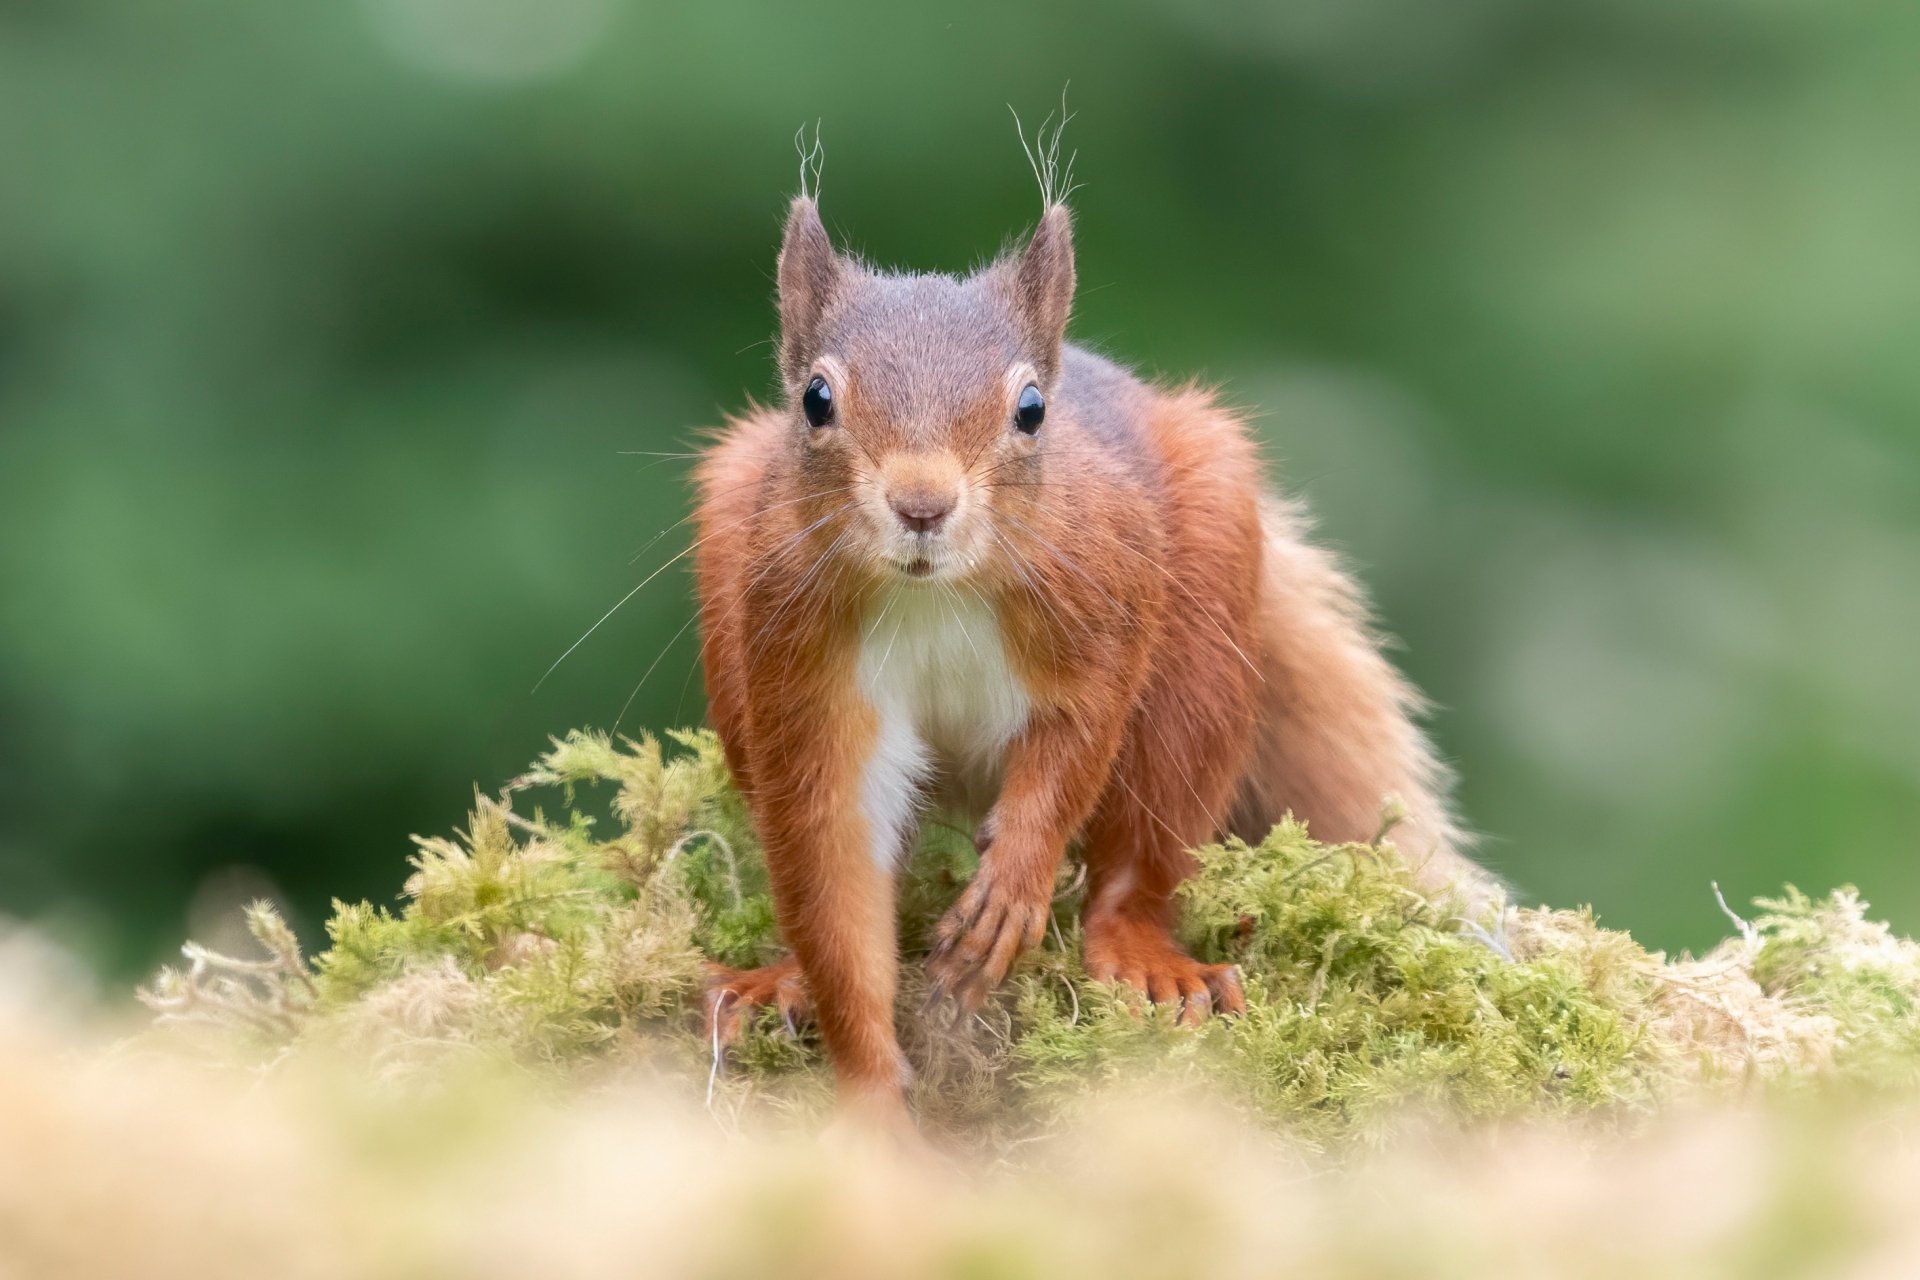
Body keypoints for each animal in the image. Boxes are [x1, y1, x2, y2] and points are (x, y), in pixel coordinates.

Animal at [692, 181, 1488, 1127]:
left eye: (1032, 410)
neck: (934, 592)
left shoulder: (1103, 606)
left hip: (1206, 609)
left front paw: (1014, 883)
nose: (922, 505)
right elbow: (833, 861)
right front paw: (872, 1096)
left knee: (1144, 847)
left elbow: (1076, 741)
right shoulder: (799, 659)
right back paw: (779, 977)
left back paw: (1146, 959)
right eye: (815, 400)